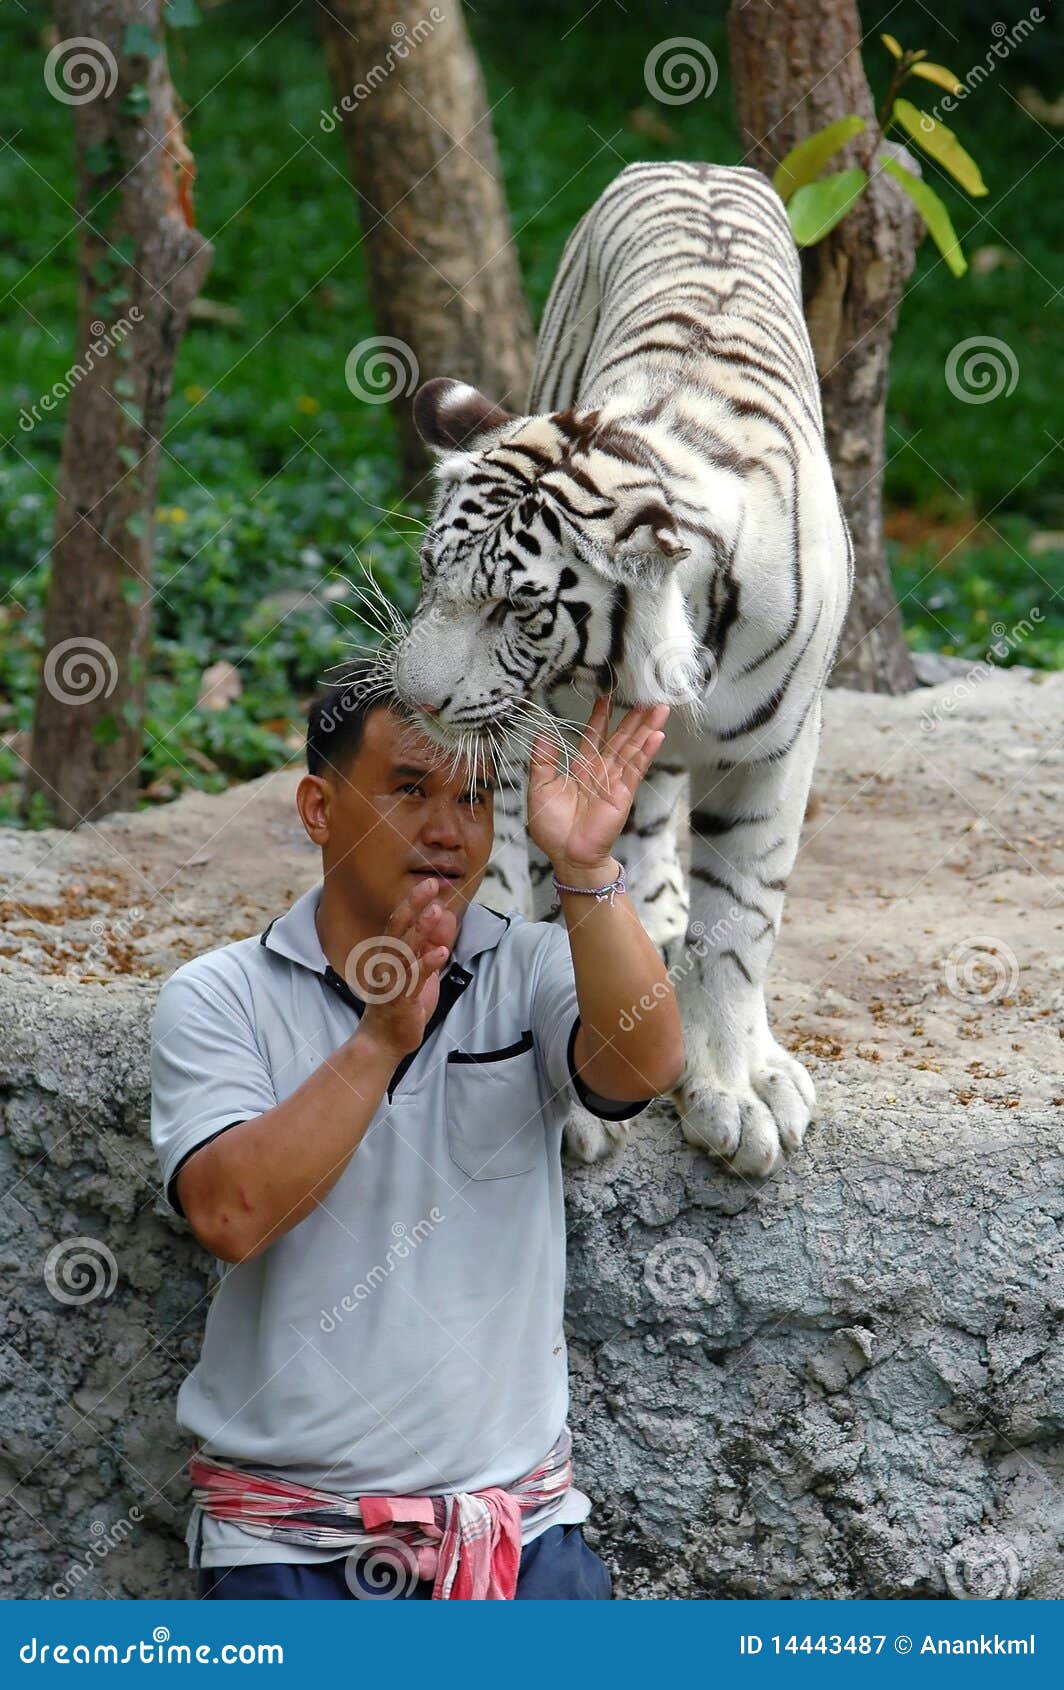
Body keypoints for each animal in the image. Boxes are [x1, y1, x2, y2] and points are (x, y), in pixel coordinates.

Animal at [388, 160, 853, 1178]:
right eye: (433, 575)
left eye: (516, 608)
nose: (415, 699)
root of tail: (692, 164)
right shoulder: (546, 745)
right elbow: (547, 901)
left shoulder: (775, 752)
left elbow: (741, 923)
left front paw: (735, 1089)